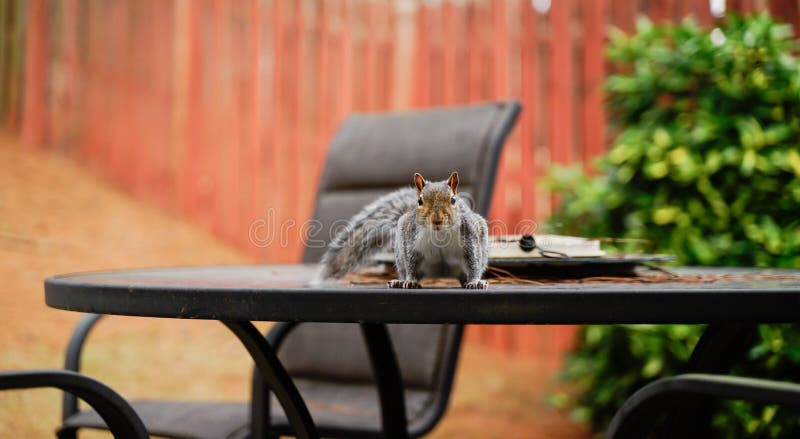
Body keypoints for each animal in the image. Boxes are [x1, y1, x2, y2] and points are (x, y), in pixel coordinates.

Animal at [320, 171, 489, 289]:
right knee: (405, 268)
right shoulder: (410, 240)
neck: (439, 234)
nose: (437, 220)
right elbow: (410, 263)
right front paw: (410, 281)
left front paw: (475, 282)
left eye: (453, 200)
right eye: (420, 201)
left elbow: (473, 261)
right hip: (400, 254)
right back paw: (399, 281)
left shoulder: (469, 236)